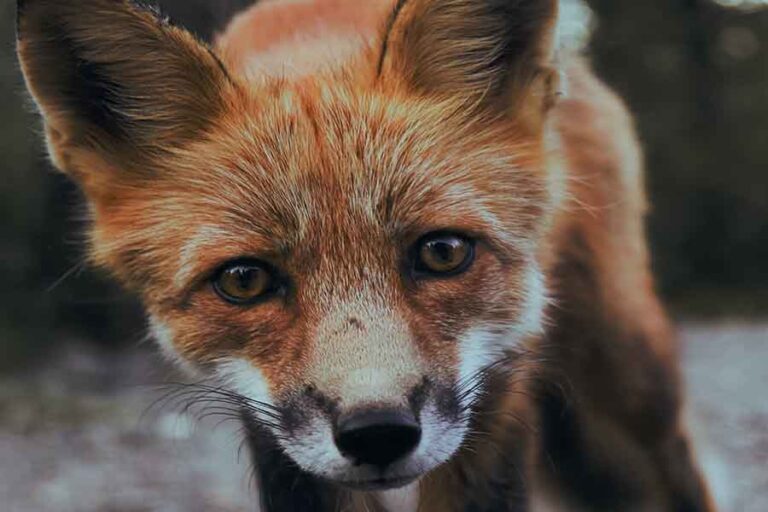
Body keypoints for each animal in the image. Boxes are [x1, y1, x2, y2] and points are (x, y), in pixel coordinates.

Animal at [16, 0, 717, 510]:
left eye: (443, 253)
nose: (377, 431)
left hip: (628, 406)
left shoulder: (498, 384)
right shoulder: (273, 435)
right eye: (244, 281)